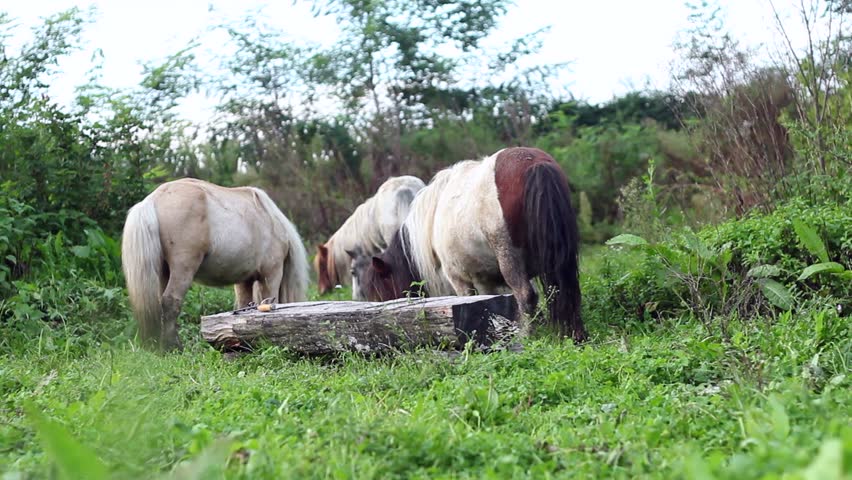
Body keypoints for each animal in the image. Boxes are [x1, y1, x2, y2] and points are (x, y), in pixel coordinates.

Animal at [121, 178, 310, 350]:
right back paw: (173, 347)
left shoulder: (244, 280)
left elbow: (245, 306)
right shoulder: (271, 274)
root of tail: (153, 199)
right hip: (183, 269)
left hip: (164, 272)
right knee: (171, 302)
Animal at [352, 147, 586, 342]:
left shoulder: (464, 280)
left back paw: (525, 336)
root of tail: (533, 163)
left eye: (381, 292)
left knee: (525, 295)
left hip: (509, 260)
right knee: (566, 288)